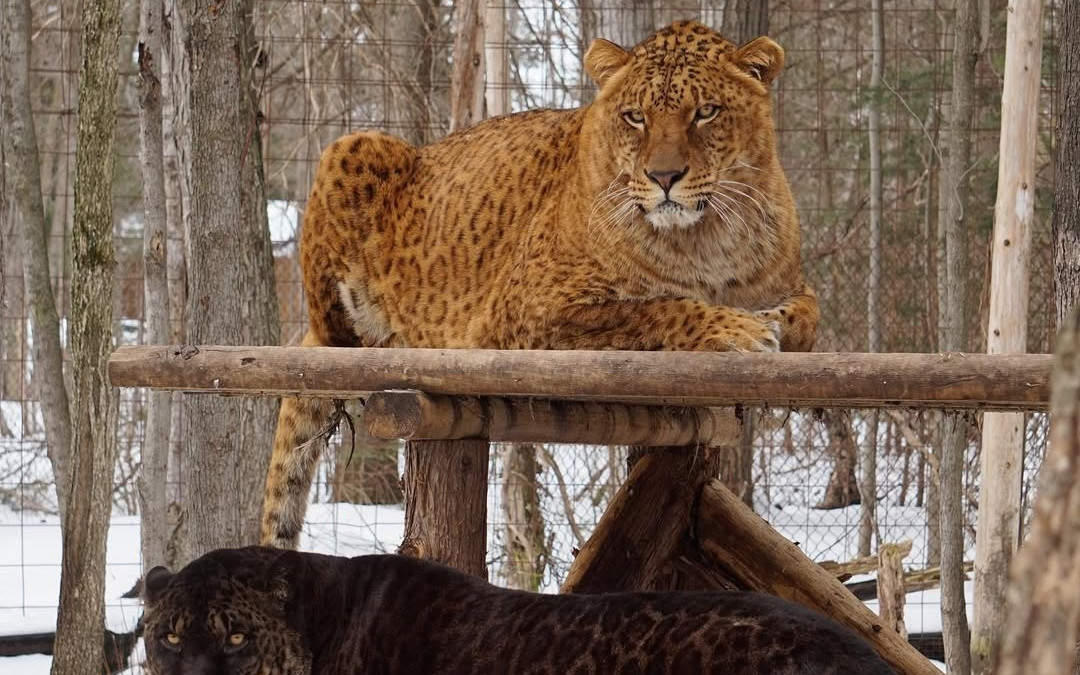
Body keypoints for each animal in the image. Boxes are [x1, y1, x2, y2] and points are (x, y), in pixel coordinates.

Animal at [260, 21, 820, 549]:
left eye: (706, 112)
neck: (706, 236)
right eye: (635, 117)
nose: (664, 177)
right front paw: (740, 330)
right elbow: (659, 307)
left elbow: (807, 317)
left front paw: (770, 321)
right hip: (352, 148)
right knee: (342, 341)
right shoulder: (529, 313)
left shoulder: (792, 283)